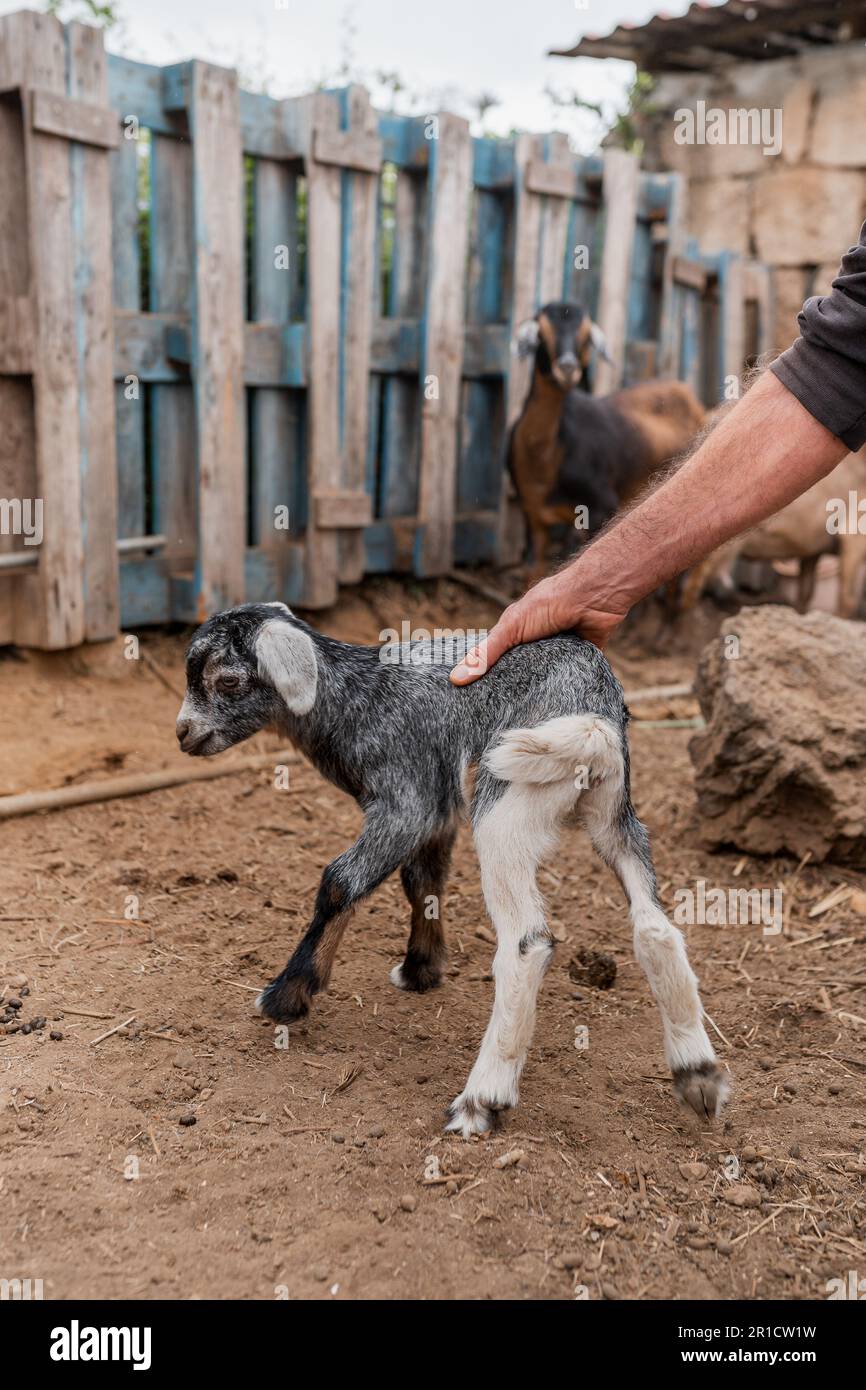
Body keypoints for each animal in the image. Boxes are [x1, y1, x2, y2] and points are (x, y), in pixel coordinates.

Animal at [176, 601, 727, 1136]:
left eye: (228, 681)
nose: (183, 733)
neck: (356, 700)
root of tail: (592, 723)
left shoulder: (407, 800)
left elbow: (340, 881)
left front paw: (288, 996)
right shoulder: (439, 807)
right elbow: (422, 881)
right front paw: (421, 968)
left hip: (504, 800)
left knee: (527, 942)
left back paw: (483, 1098)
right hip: (615, 814)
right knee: (655, 926)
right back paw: (697, 1072)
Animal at [508, 302, 706, 576]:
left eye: (585, 338)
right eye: (541, 334)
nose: (567, 368)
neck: (547, 456)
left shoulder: (602, 508)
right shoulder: (533, 516)